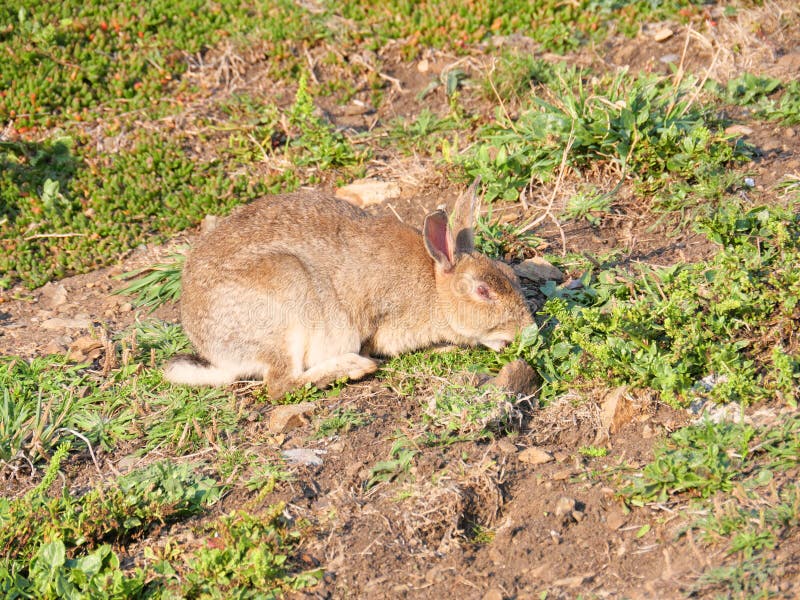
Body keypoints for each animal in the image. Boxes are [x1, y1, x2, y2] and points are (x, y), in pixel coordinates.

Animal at [164, 180, 533, 396]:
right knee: (281, 385)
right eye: (482, 291)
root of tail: (215, 351)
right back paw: (355, 367)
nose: (528, 331)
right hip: (286, 303)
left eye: (508, 275)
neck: (434, 285)